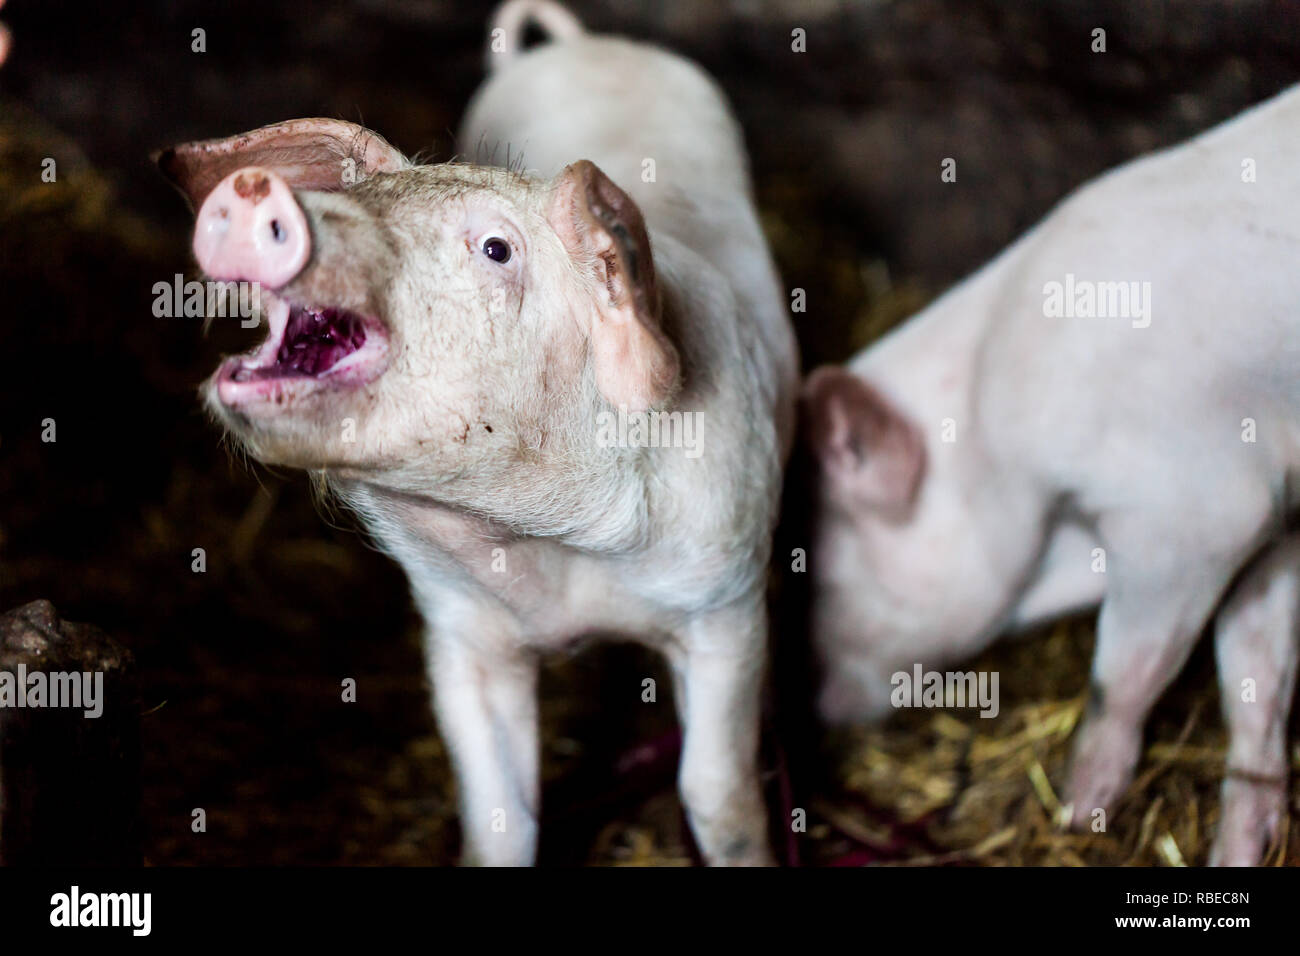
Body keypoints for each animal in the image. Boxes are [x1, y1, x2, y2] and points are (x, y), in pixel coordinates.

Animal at [156, 0, 797, 865]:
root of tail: (587, 46)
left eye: (496, 248)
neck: (546, 556)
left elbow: (716, 792)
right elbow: (497, 812)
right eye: (374, 194)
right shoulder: (459, 628)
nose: (257, 186)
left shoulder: (727, 600)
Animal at [803, 85, 1300, 866]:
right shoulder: (1275, 515)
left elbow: (1123, 673)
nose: (821, 709)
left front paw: (1078, 810)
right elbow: (1258, 669)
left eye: (823, 578)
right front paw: (1236, 851)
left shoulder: (1196, 514)